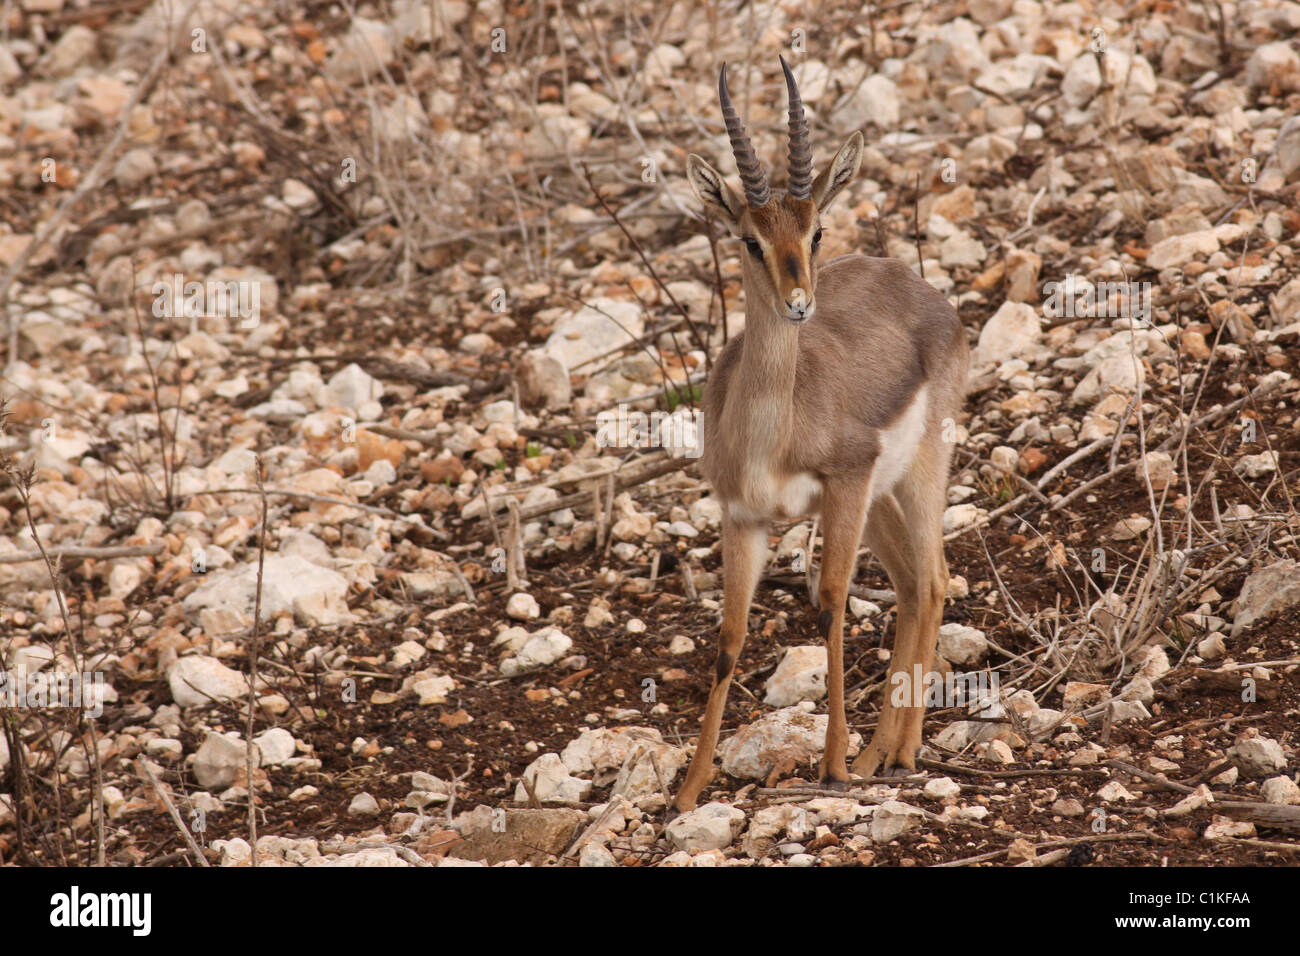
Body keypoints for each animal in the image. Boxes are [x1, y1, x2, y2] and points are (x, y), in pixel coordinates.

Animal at [672, 58, 969, 813]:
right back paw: (878, 754)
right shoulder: (742, 517)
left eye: (816, 232)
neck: (771, 434)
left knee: (935, 578)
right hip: (879, 500)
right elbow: (729, 635)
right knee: (913, 586)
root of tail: (916, 285)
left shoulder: (842, 481)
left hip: (914, 473)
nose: (799, 304)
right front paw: (689, 789)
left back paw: (894, 754)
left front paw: (830, 765)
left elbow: (832, 605)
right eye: (750, 238)